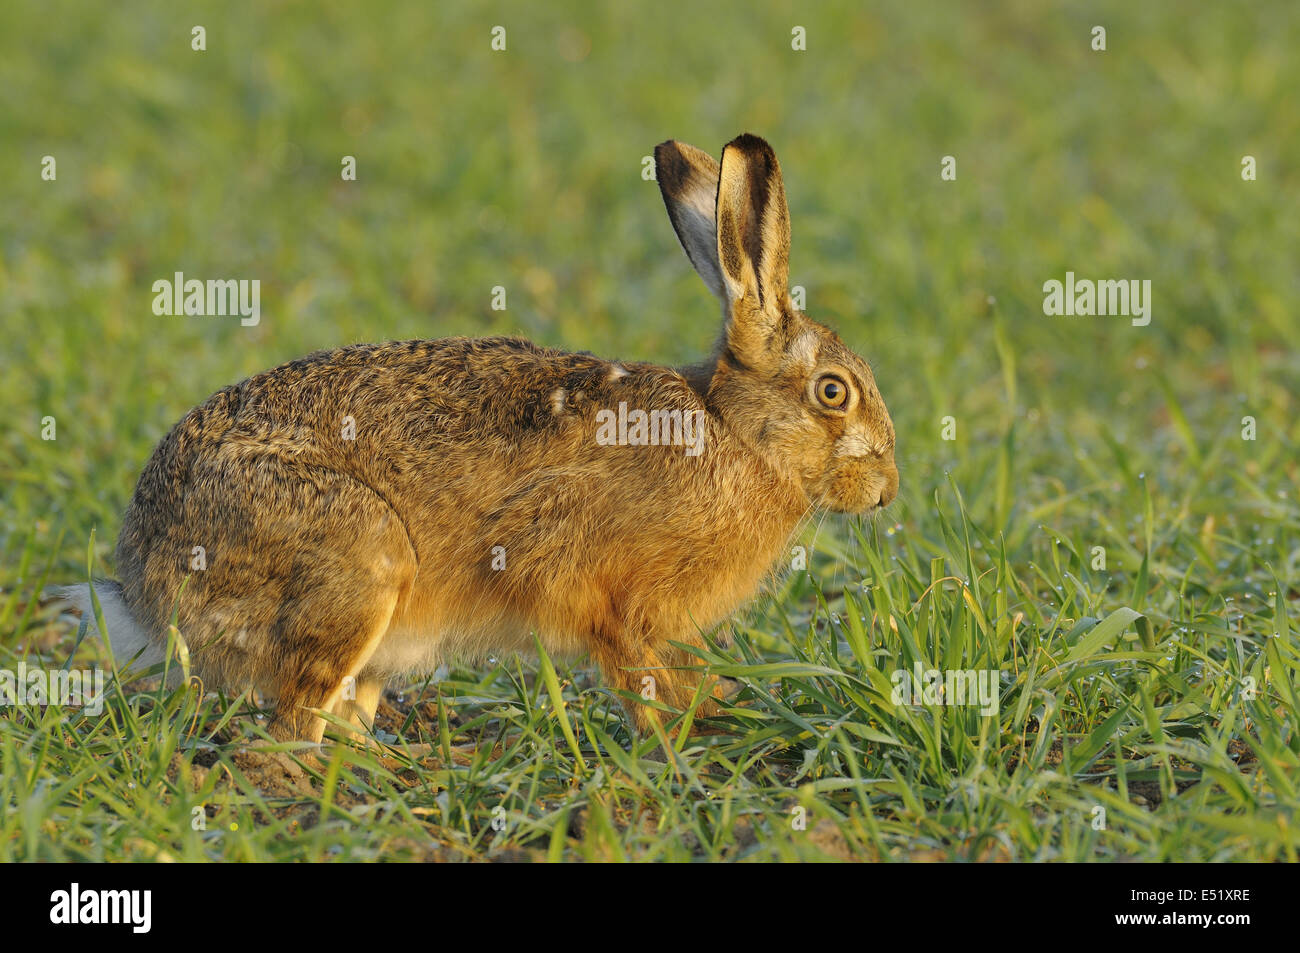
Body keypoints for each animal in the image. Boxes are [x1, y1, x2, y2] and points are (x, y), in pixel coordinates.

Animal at [65, 133, 898, 745]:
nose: (887, 490)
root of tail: (143, 582)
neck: (738, 435)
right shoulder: (584, 577)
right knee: (296, 717)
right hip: (355, 560)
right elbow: (631, 665)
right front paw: (682, 728)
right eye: (833, 391)